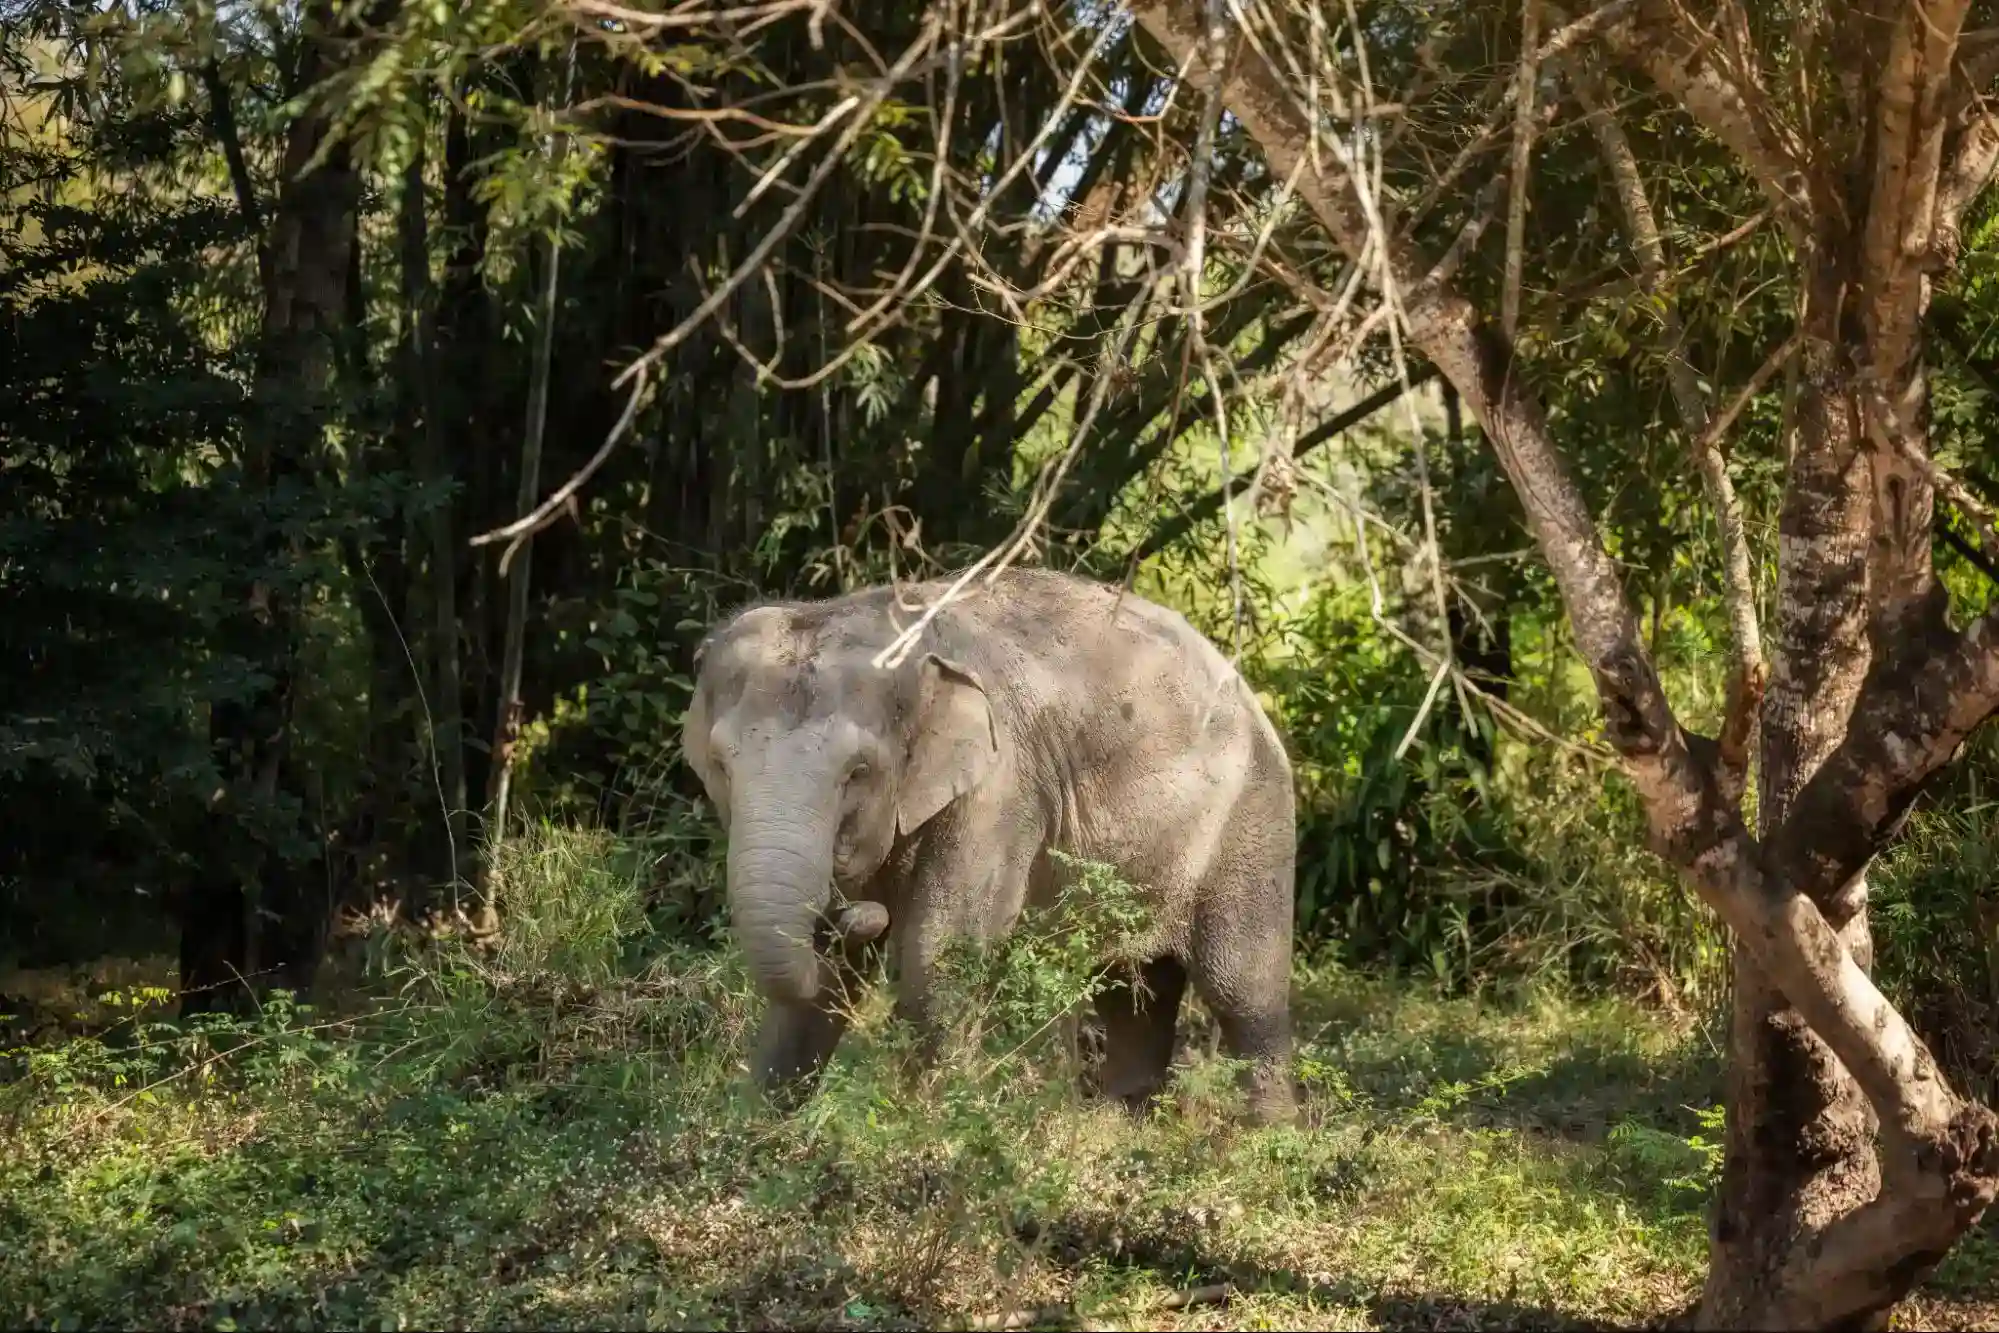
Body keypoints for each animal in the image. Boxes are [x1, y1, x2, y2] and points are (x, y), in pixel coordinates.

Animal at [680, 566, 1299, 1124]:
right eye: (720, 767)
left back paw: (1264, 1144)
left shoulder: (999, 787)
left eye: (858, 772)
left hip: (1253, 818)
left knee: (1242, 994)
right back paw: (1122, 1130)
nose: (858, 912)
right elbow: (825, 986)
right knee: (1133, 991)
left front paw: (930, 1130)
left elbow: (940, 954)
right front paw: (757, 1134)